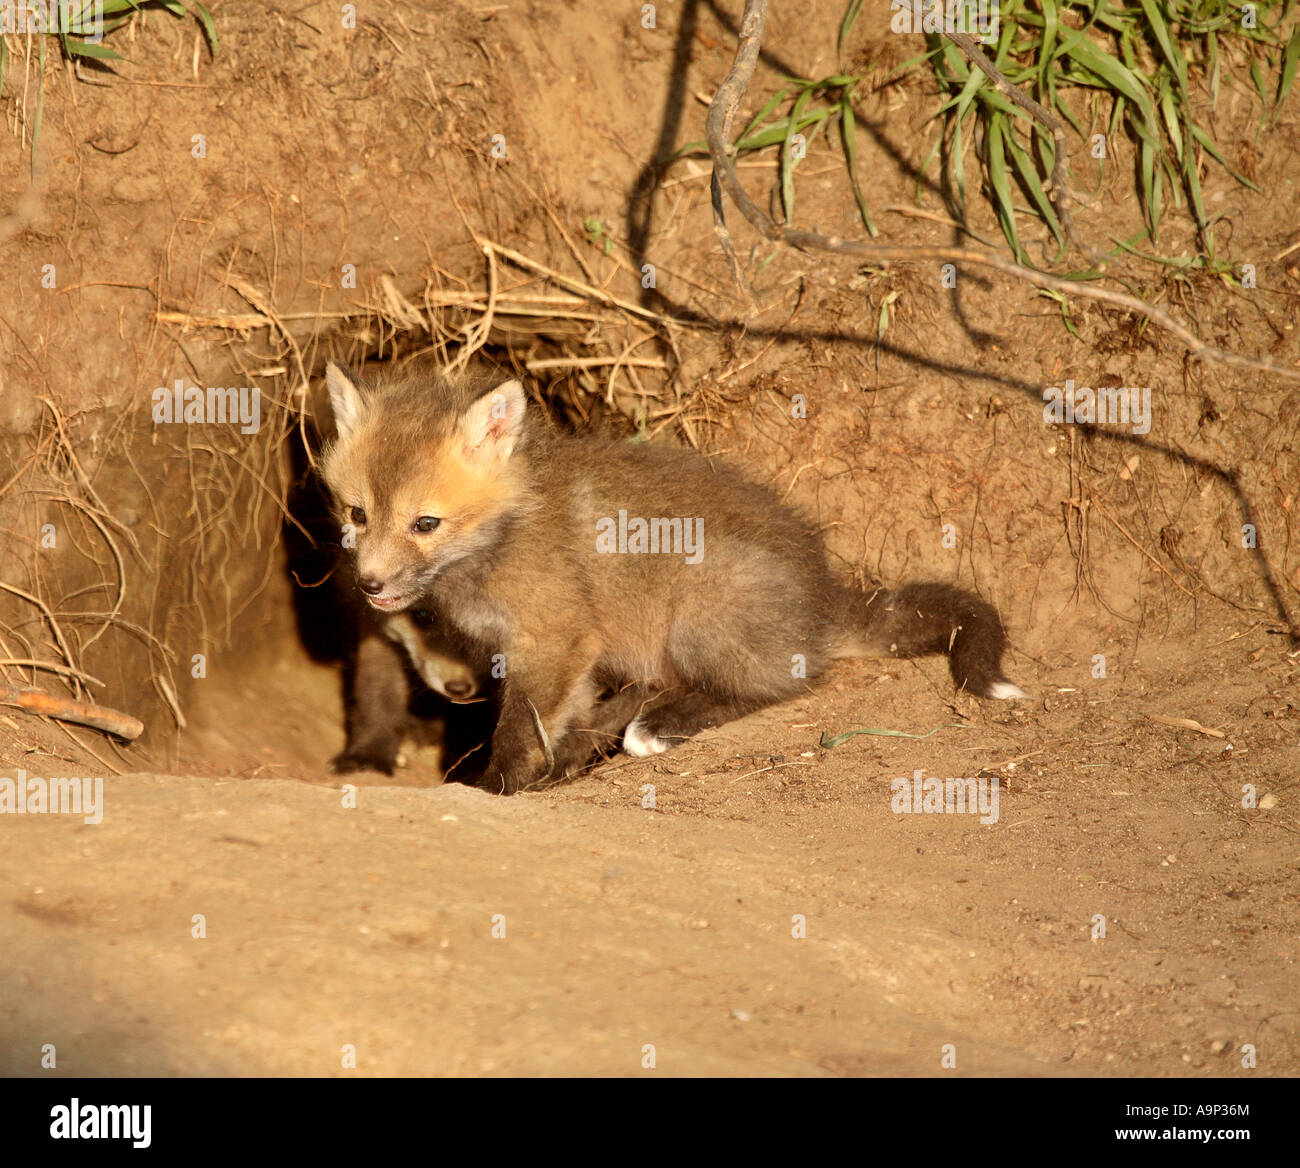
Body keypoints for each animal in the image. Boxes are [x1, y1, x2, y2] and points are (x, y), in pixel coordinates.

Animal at [321, 361, 1027, 794]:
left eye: (425, 523)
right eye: (357, 513)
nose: (370, 586)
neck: (502, 536)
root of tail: (827, 598)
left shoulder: (553, 639)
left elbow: (519, 732)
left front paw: (493, 787)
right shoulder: (571, 658)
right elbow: (563, 723)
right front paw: (553, 771)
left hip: (700, 615)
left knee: (776, 686)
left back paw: (659, 729)